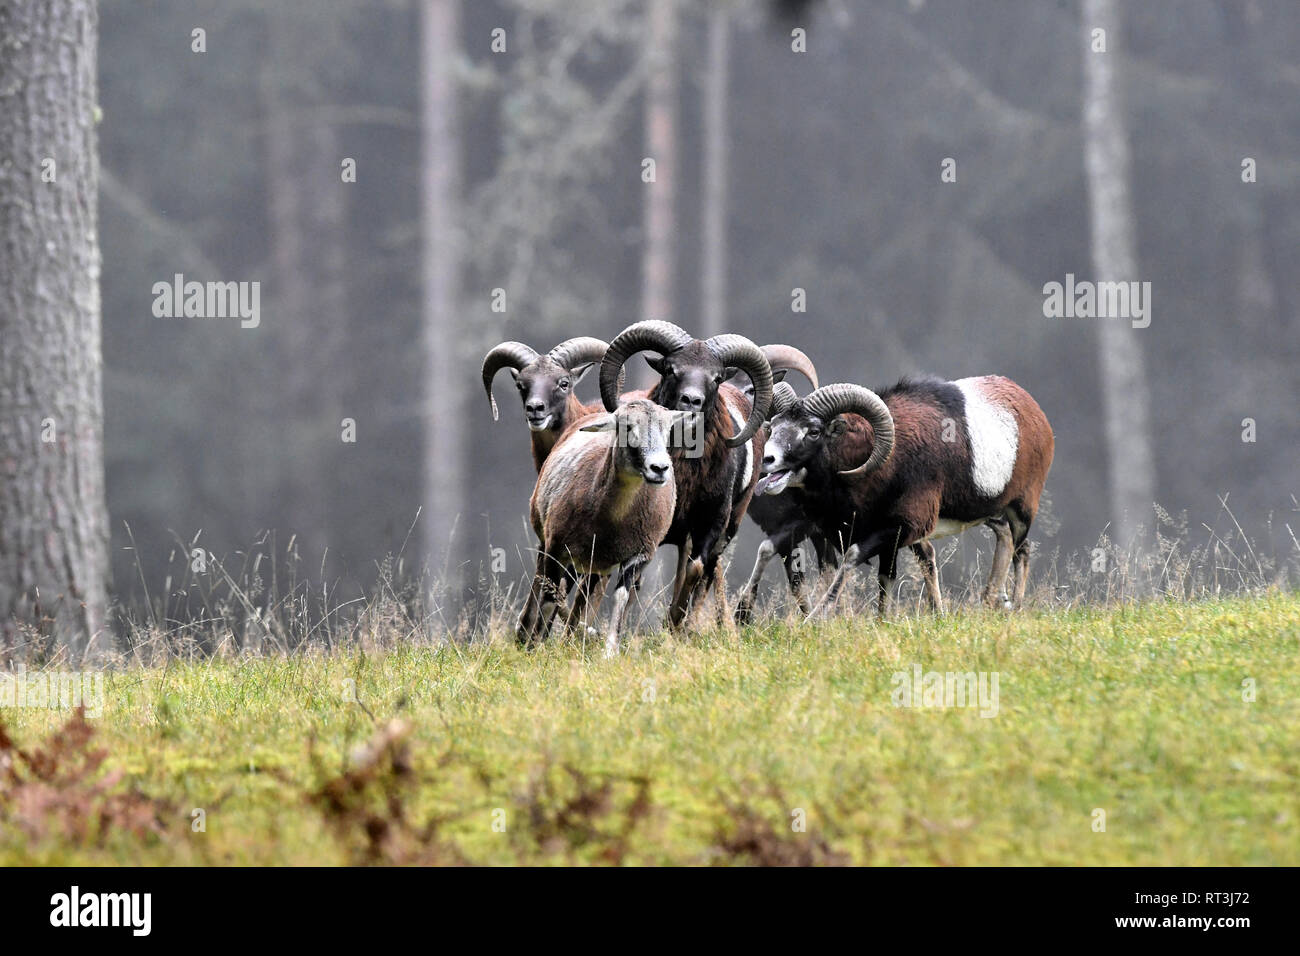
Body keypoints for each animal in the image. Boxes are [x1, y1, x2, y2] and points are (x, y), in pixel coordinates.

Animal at [519, 399, 690, 656]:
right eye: (626, 426)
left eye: (667, 428)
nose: (659, 468)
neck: (612, 520)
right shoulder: (556, 547)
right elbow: (549, 597)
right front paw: (535, 647)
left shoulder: (639, 555)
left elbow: (621, 597)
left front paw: (610, 652)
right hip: (549, 544)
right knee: (542, 581)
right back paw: (525, 632)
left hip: (595, 566)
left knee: (583, 596)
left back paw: (574, 637)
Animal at [598, 321, 773, 629]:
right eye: (670, 369)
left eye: (716, 377)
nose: (691, 400)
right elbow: (633, 584)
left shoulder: (710, 524)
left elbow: (696, 571)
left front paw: (675, 624)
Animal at [759, 377, 1054, 617]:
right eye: (774, 426)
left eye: (813, 431)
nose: (767, 460)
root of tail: (1035, 414)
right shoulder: (890, 539)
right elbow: (886, 580)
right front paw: (882, 622)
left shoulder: (900, 529)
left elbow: (852, 559)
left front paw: (813, 620)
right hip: (992, 515)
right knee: (1007, 540)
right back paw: (993, 603)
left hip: (1022, 510)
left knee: (1022, 551)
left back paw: (1014, 609)